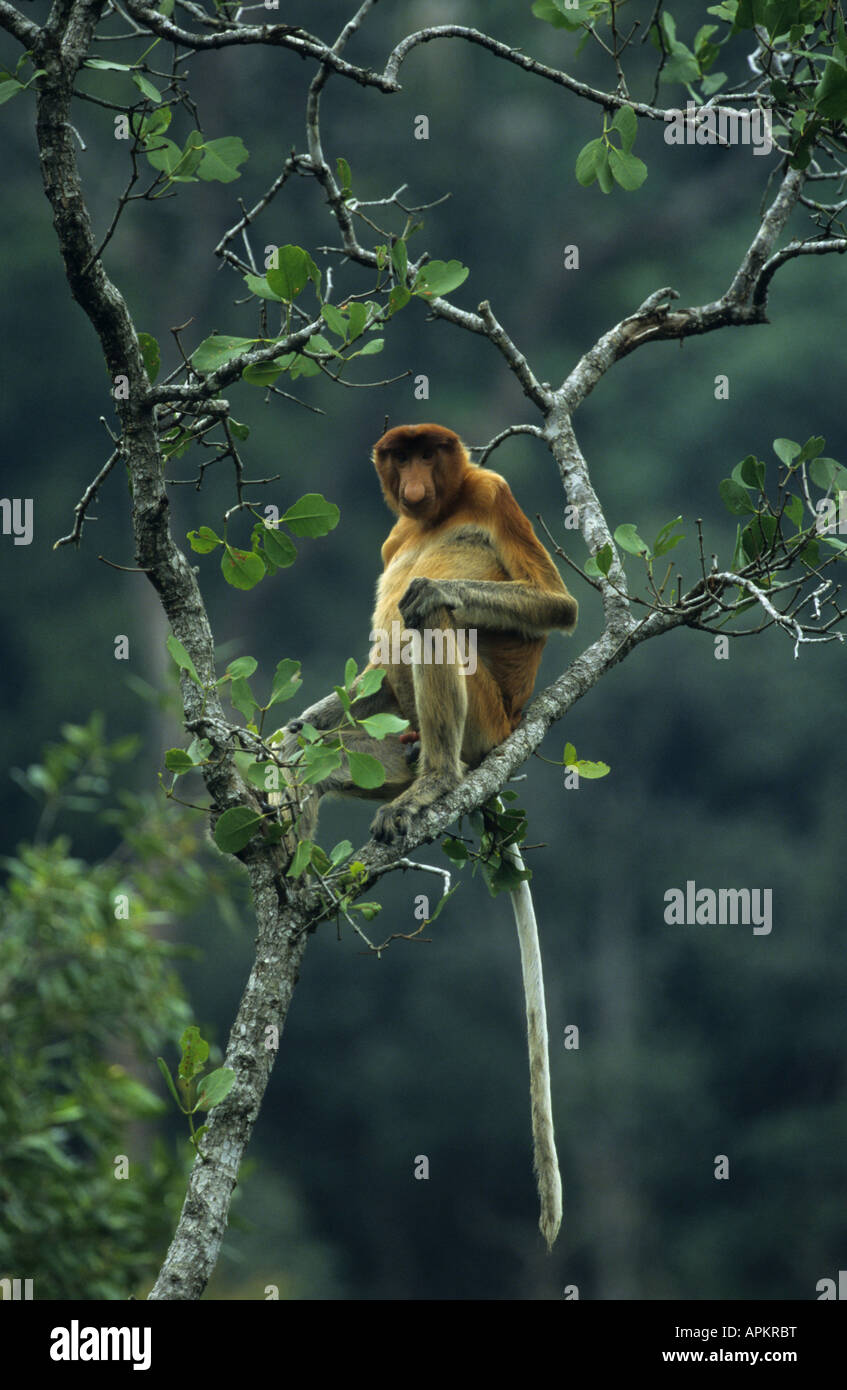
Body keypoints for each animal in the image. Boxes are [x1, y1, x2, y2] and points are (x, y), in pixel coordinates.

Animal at [275, 424, 578, 1248]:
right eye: (399, 457)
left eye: (428, 454)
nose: (412, 482)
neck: (436, 513)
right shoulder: (392, 537)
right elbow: (349, 694)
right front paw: (289, 726)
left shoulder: (494, 494)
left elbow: (557, 605)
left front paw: (433, 589)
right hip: (387, 747)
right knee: (316, 764)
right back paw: (296, 879)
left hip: (481, 720)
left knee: (433, 631)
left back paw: (435, 779)